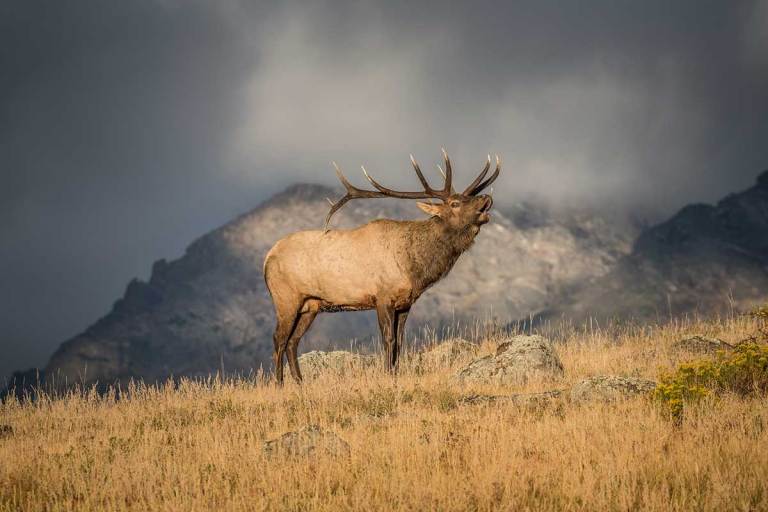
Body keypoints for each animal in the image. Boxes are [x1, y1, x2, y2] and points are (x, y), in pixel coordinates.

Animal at [263, 150, 500, 384]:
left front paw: (395, 374)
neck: (414, 269)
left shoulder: (405, 303)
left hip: (310, 305)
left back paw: (300, 383)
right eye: (455, 203)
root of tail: (267, 258)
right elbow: (389, 339)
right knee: (278, 339)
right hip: (286, 298)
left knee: (292, 341)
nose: (485, 197)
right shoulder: (383, 297)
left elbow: (400, 342)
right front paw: (387, 376)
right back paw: (279, 384)